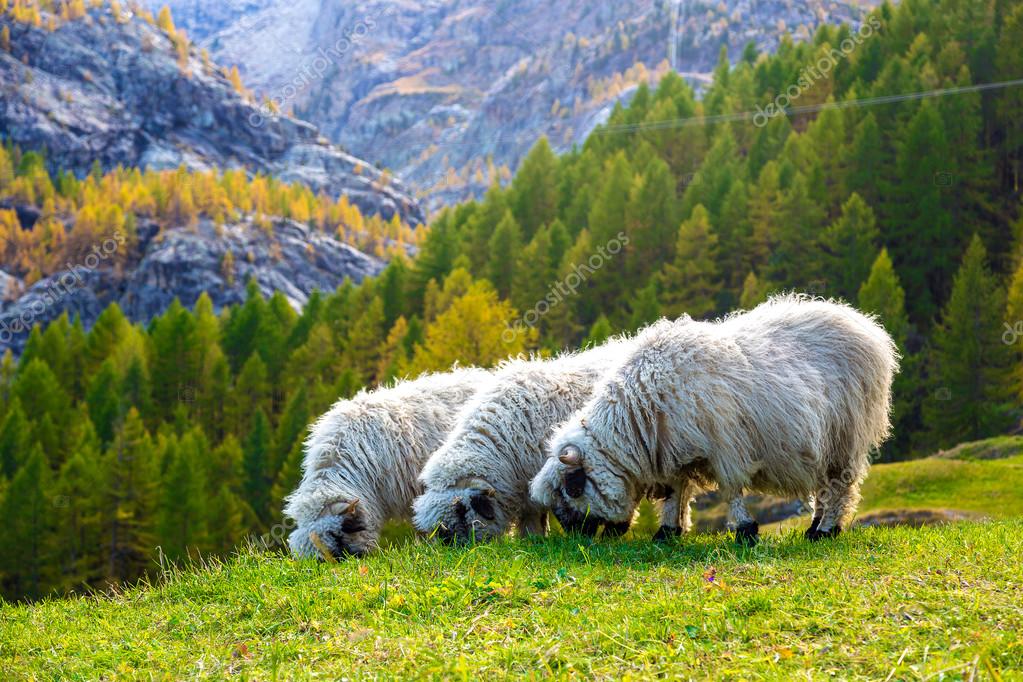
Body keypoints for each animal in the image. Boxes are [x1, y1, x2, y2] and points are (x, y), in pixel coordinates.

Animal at [530, 295, 899, 544]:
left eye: (573, 486)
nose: (577, 538)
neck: (640, 415)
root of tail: (866, 325)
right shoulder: (673, 452)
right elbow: (675, 491)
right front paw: (667, 531)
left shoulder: (726, 445)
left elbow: (731, 489)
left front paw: (745, 532)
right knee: (825, 488)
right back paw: (814, 525)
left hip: (846, 436)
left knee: (839, 487)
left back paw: (825, 530)